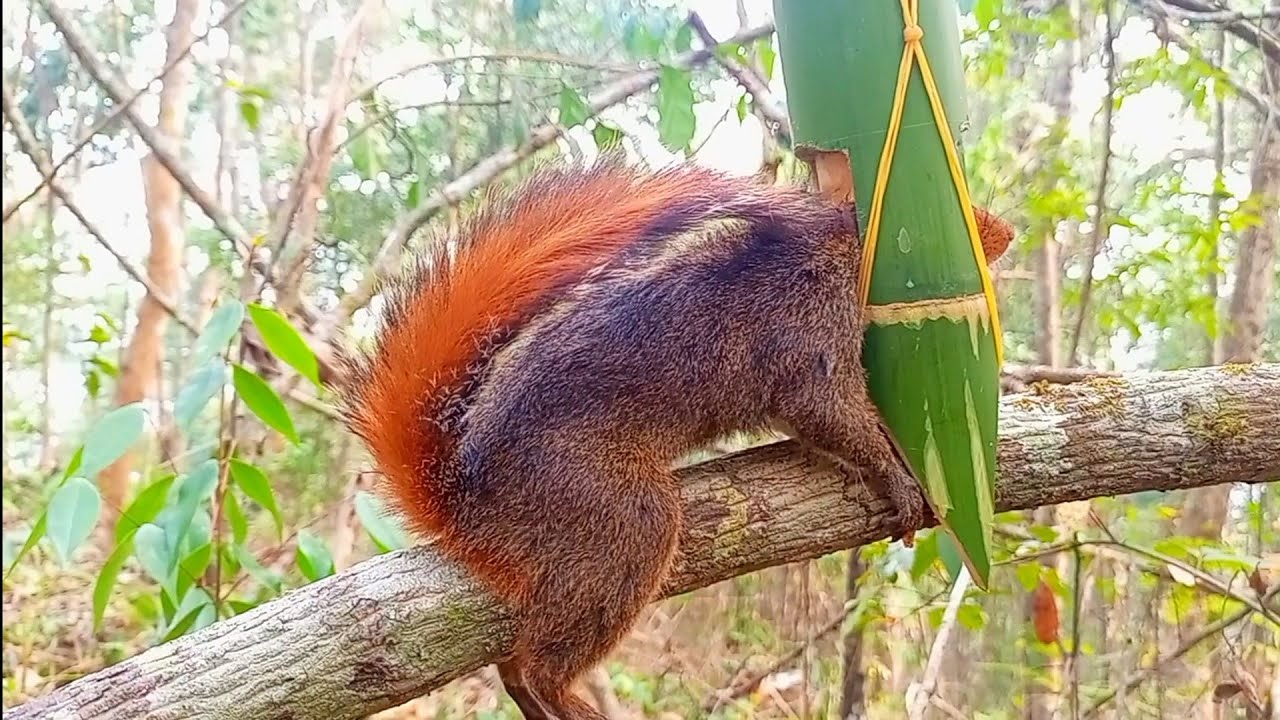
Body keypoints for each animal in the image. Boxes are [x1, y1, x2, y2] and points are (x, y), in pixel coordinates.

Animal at [338, 156, 1013, 719]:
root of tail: (463, 506)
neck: (833, 247)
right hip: (619, 518)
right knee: (538, 667)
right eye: (947, 213)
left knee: (513, 666)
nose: (1004, 233)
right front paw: (897, 475)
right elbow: (833, 416)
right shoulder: (811, 337)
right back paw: (567, 699)